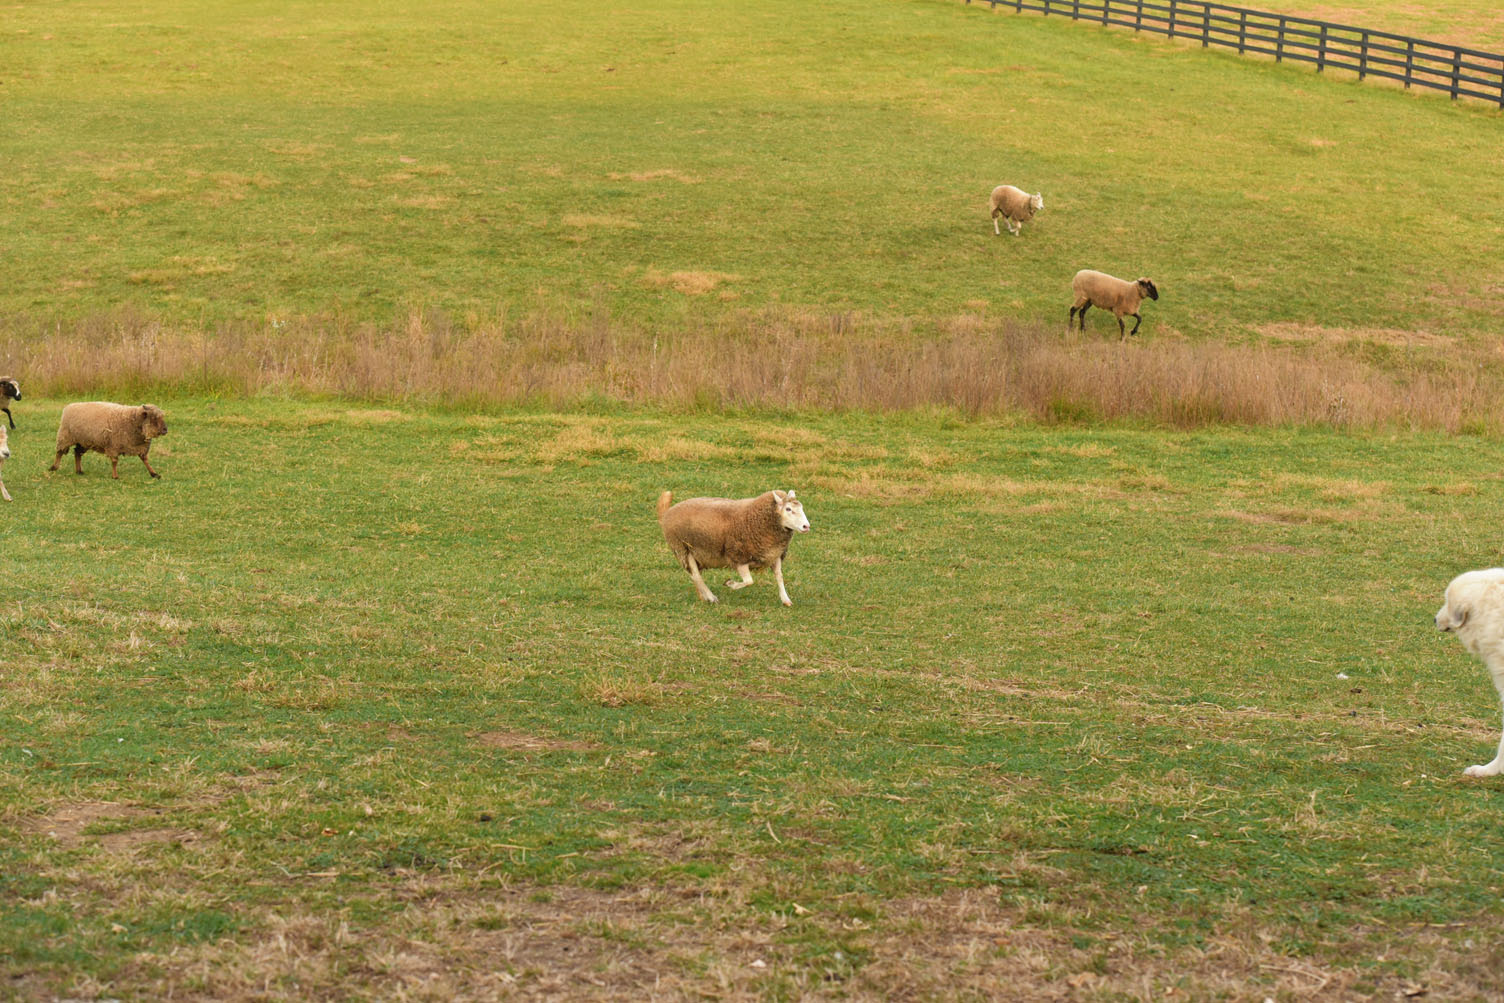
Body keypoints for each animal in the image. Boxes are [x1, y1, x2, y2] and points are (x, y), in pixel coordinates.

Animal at [657, 489, 810, 606]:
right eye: (788, 509)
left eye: (801, 508)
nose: (806, 526)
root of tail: (667, 512)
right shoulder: (738, 557)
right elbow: (749, 582)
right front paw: (730, 584)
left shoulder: (774, 555)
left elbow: (779, 577)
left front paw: (786, 599)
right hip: (682, 549)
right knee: (696, 576)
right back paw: (711, 597)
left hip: (694, 554)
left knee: (695, 576)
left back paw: (703, 596)